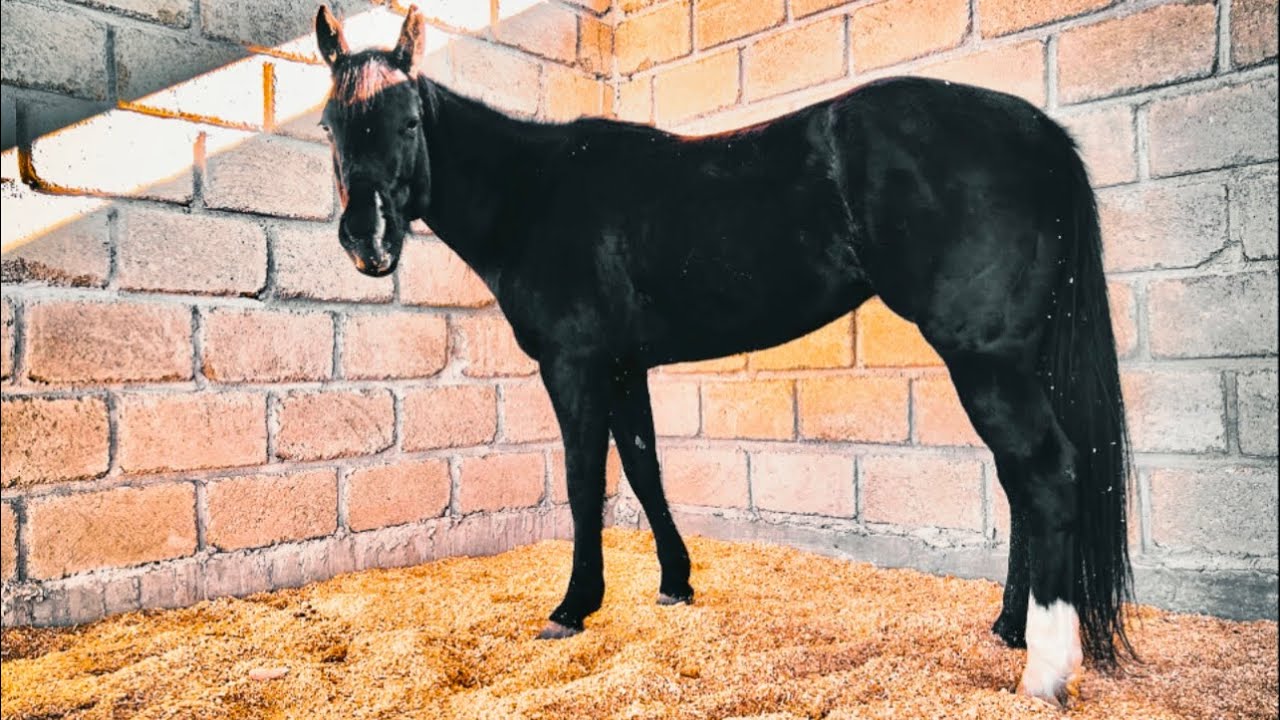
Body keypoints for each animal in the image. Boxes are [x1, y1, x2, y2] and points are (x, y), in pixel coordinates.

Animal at [313, 5, 1136, 704]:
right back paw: (1008, 628)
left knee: (1046, 474)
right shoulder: (624, 367)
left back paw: (1044, 670)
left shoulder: (576, 366)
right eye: (328, 126)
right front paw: (675, 583)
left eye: (409, 120)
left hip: (986, 358)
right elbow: (643, 468)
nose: (366, 242)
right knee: (1023, 483)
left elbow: (585, 481)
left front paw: (574, 607)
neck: (535, 196)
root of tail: (1037, 131)